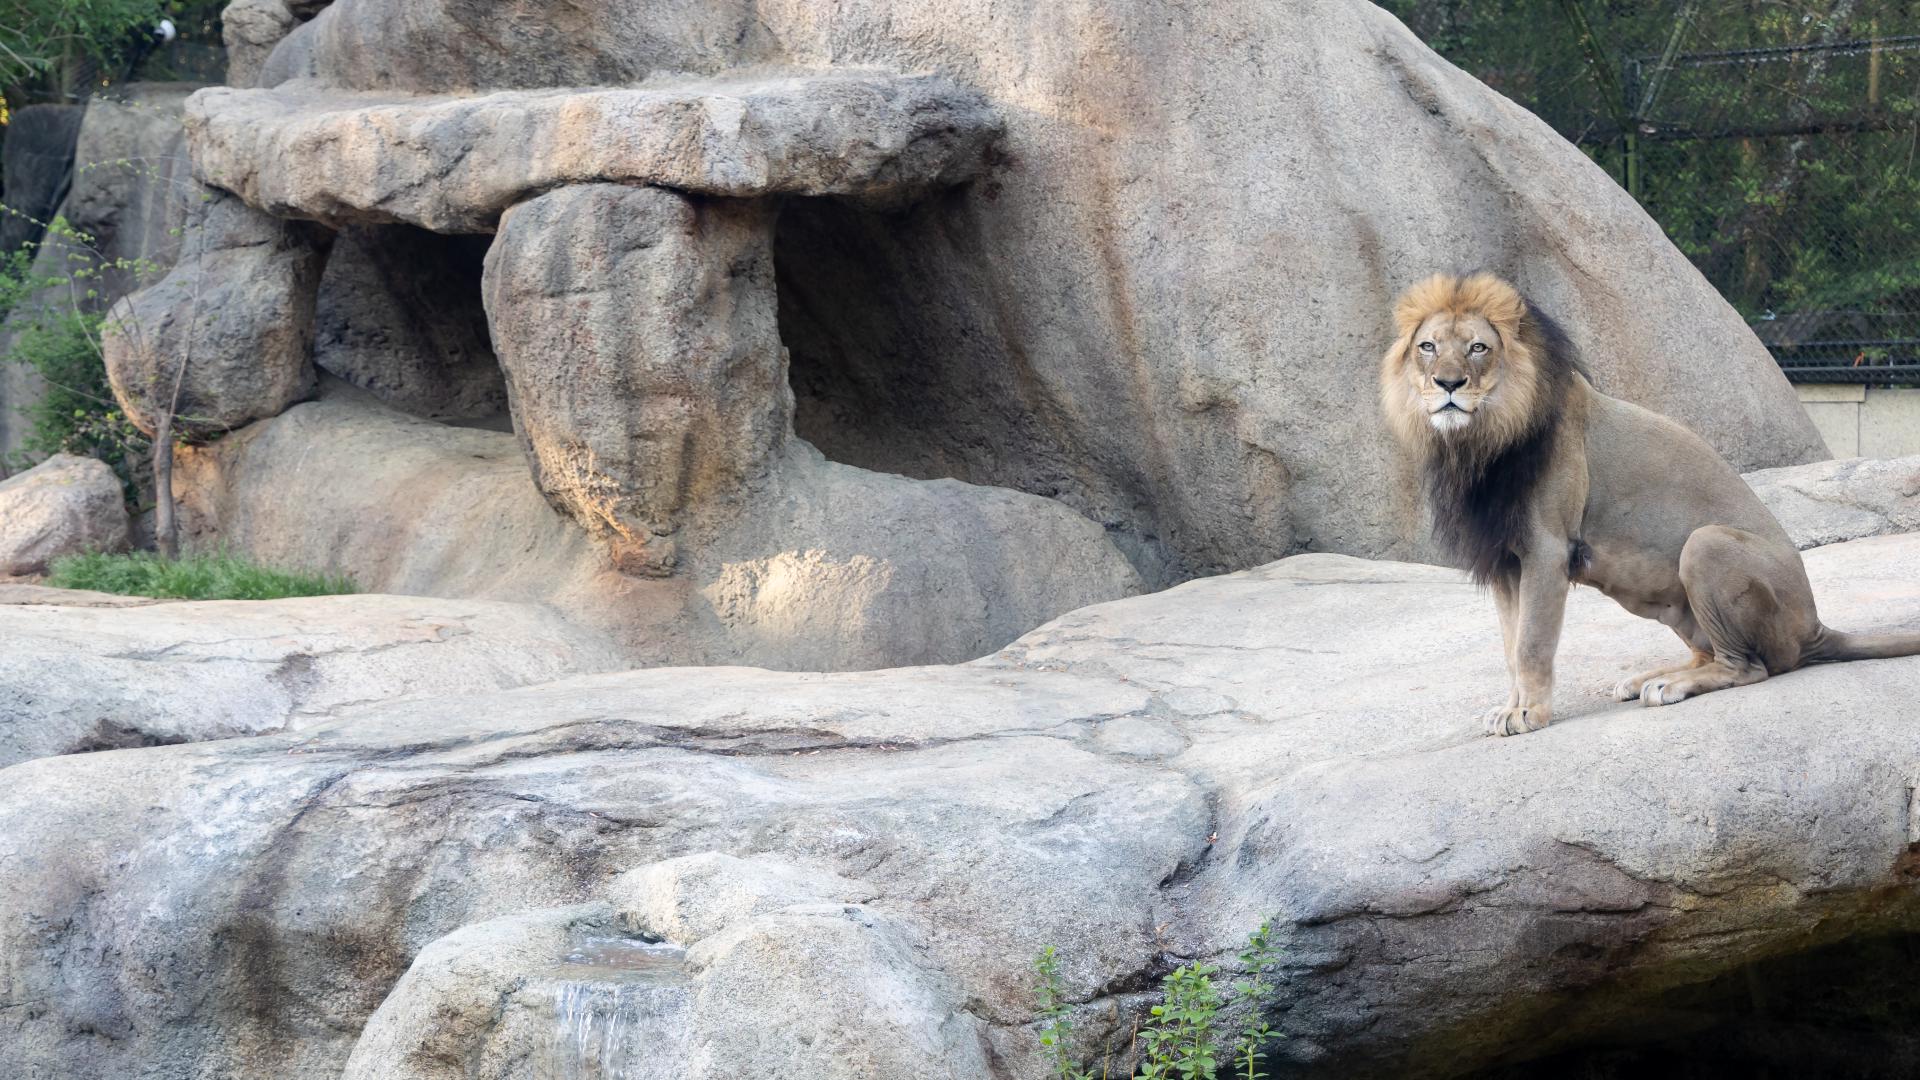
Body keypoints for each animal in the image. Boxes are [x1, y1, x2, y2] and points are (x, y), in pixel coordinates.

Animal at [1380, 271, 1920, 736]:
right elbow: (1511, 647)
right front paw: (1512, 707)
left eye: (1478, 348)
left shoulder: (1546, 549)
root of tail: (1815, 627)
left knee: (1748, 667)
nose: (1449, 384)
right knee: (1713, 654)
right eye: (1428, 347)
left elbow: (1531, 642)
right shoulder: (1506, 561)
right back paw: (1650, 676)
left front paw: (1529, 713)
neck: (1477, 443)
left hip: (1705, 544)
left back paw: (1670, 684)